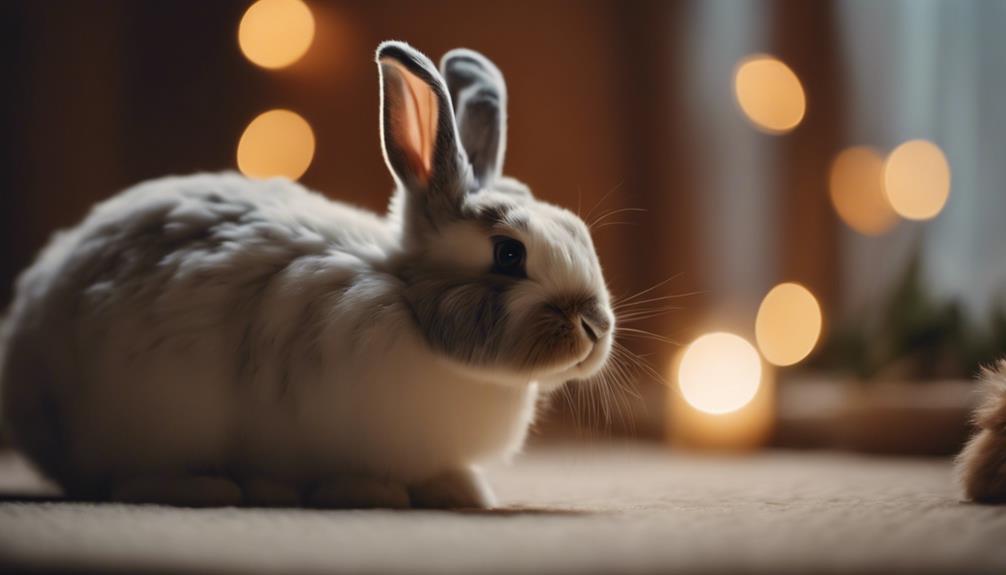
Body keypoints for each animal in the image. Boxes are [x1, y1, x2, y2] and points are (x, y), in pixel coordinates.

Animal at [0, 41, 615, 509]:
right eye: (508, 255)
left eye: (577, 231)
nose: (596, 328)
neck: (411, 304)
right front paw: (370, 495)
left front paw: (463, 493)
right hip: (148, 417)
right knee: (124, 480)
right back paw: (211, 488)